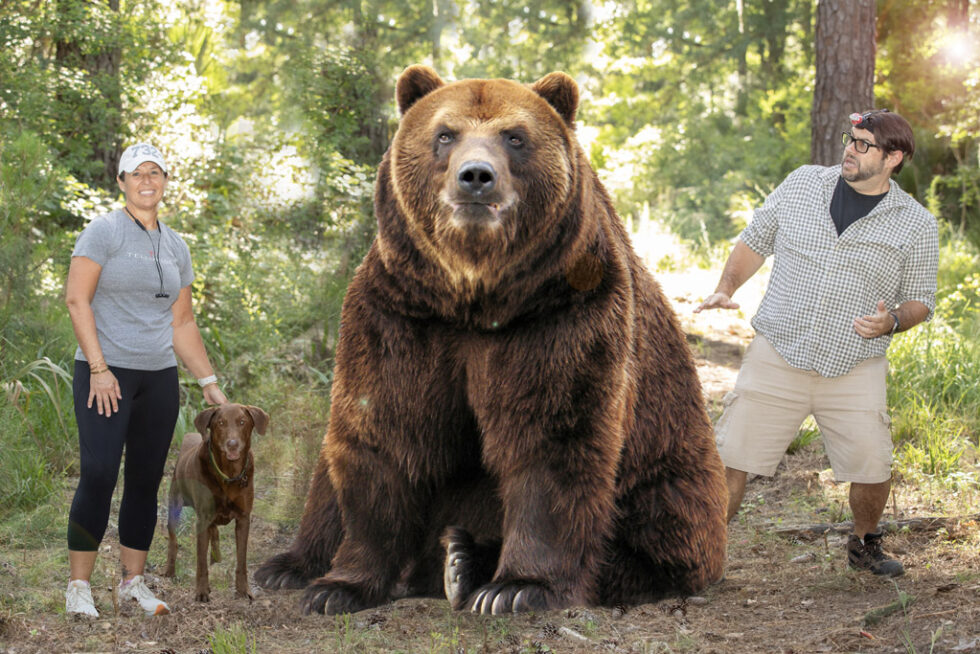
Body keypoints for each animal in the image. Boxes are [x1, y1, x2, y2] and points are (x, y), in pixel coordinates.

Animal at [254, 65, 728, 615]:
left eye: (515, 136)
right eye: (445, 134)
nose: (476, 176)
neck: (475, 297)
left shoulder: (561, 313)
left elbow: (551, 437)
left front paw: (517, 587)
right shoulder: (401, 314)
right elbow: (384, 432)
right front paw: (339, 586)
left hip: (670, 474)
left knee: (652, 528)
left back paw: (466, 560)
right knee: (328, 473)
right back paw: (292, 565)